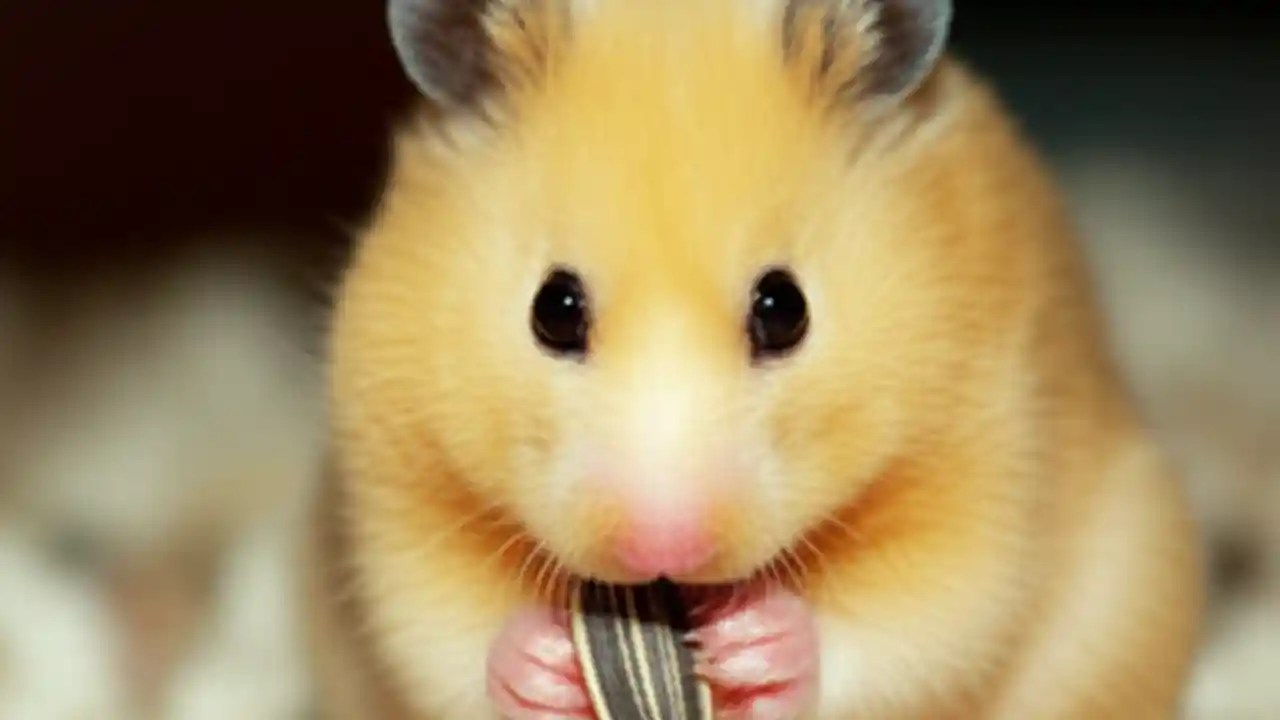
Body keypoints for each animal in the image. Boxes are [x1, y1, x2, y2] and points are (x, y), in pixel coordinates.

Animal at [310, 1, 1205, 718]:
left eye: (784, 309)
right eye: (553, 309)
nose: (662, 550)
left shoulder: (981, 451)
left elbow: (918, 619)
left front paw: (752, 647)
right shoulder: (395, 483)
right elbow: (444, 631)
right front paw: (543, 661)